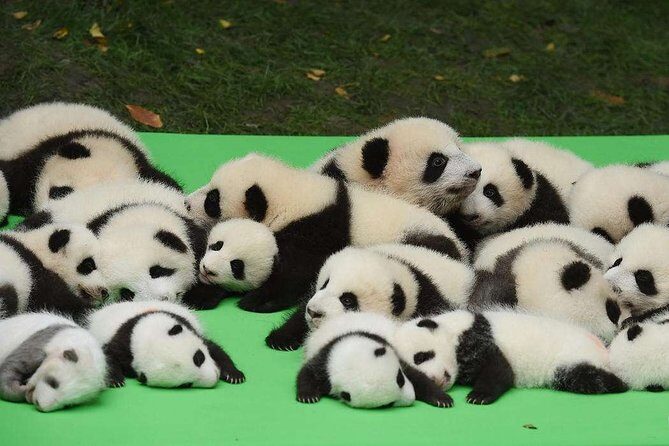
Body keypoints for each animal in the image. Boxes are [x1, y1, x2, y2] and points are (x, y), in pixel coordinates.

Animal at [86, 301, 245, 388]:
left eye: (199, 358)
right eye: (186, 385)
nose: (214, 378)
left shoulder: (189, 327)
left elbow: (214, 349)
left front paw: (234, 375)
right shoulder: (123, 344)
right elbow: (108, 354)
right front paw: (115, 380)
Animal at [185, 154, 468, 313]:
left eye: (212, 200)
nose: (187, 203)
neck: (294, 195)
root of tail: (460, 248)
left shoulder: (317, 228)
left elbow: (294, 272)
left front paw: (257, 301)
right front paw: (201, 294)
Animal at [266, 243, 475, 351]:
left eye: (348, 300)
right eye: (325, 284)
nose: (314, 312)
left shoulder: (430, 302)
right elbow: (300, 310)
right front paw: (281, 339)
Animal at [297, 312, 452, 408]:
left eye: (400, 379)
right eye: (388, 404)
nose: (412, 398)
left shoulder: (391, 349)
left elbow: (417, 376)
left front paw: (442, 399)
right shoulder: (325, 360)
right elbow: (308, 373)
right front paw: (308, 396)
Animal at [393, 310, 627, 405]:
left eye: (422, 356)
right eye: (409, 368)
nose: (434, 379)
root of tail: (601, 348)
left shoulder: (477, 337)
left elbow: (500, 370)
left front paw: (478, 396)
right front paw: (438, 396)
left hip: (570, 354)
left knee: (586, 377)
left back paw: (619, 382)